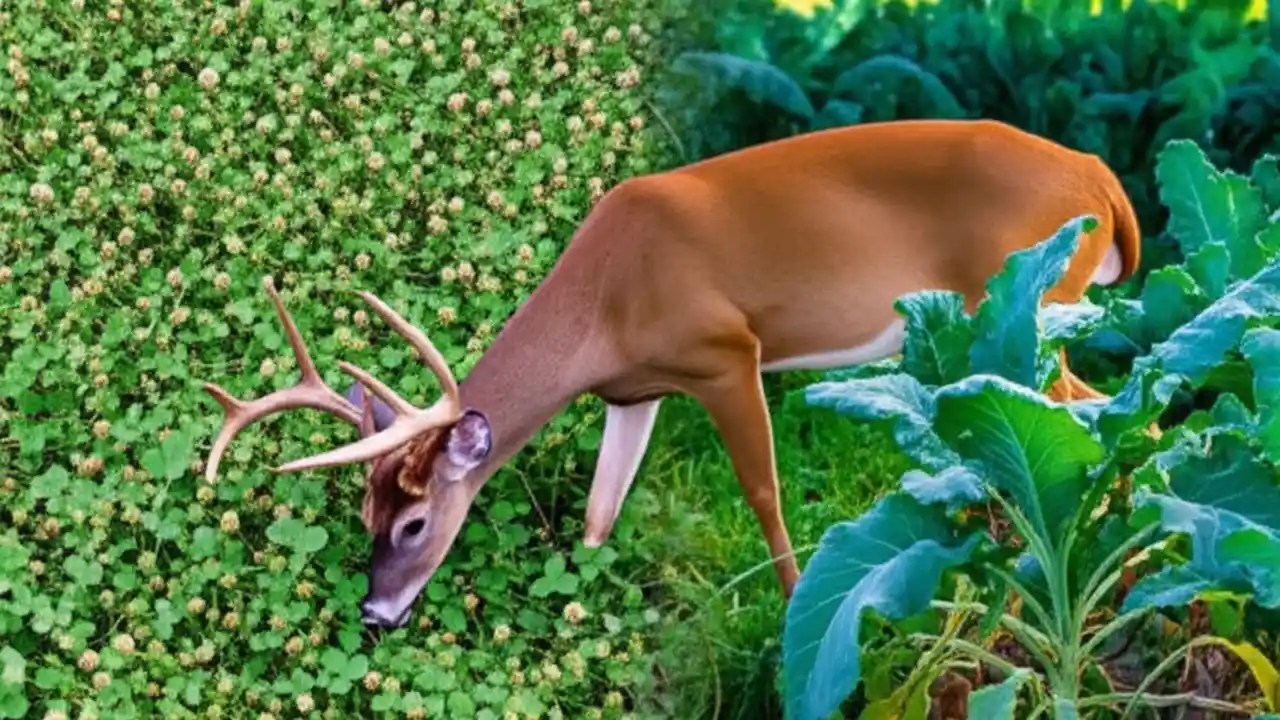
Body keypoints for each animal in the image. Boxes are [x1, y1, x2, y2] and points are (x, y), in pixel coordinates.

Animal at [201, 119, 1141, 629]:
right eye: (364, 512)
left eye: (415, 524)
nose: (374, 612)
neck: (609, 299)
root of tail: (1101, 177)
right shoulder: (636, 391)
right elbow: (597, 516)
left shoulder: (724, 351)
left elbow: (763, 493)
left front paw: (795, 613)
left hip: (1020, 310)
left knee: (1101, 412)